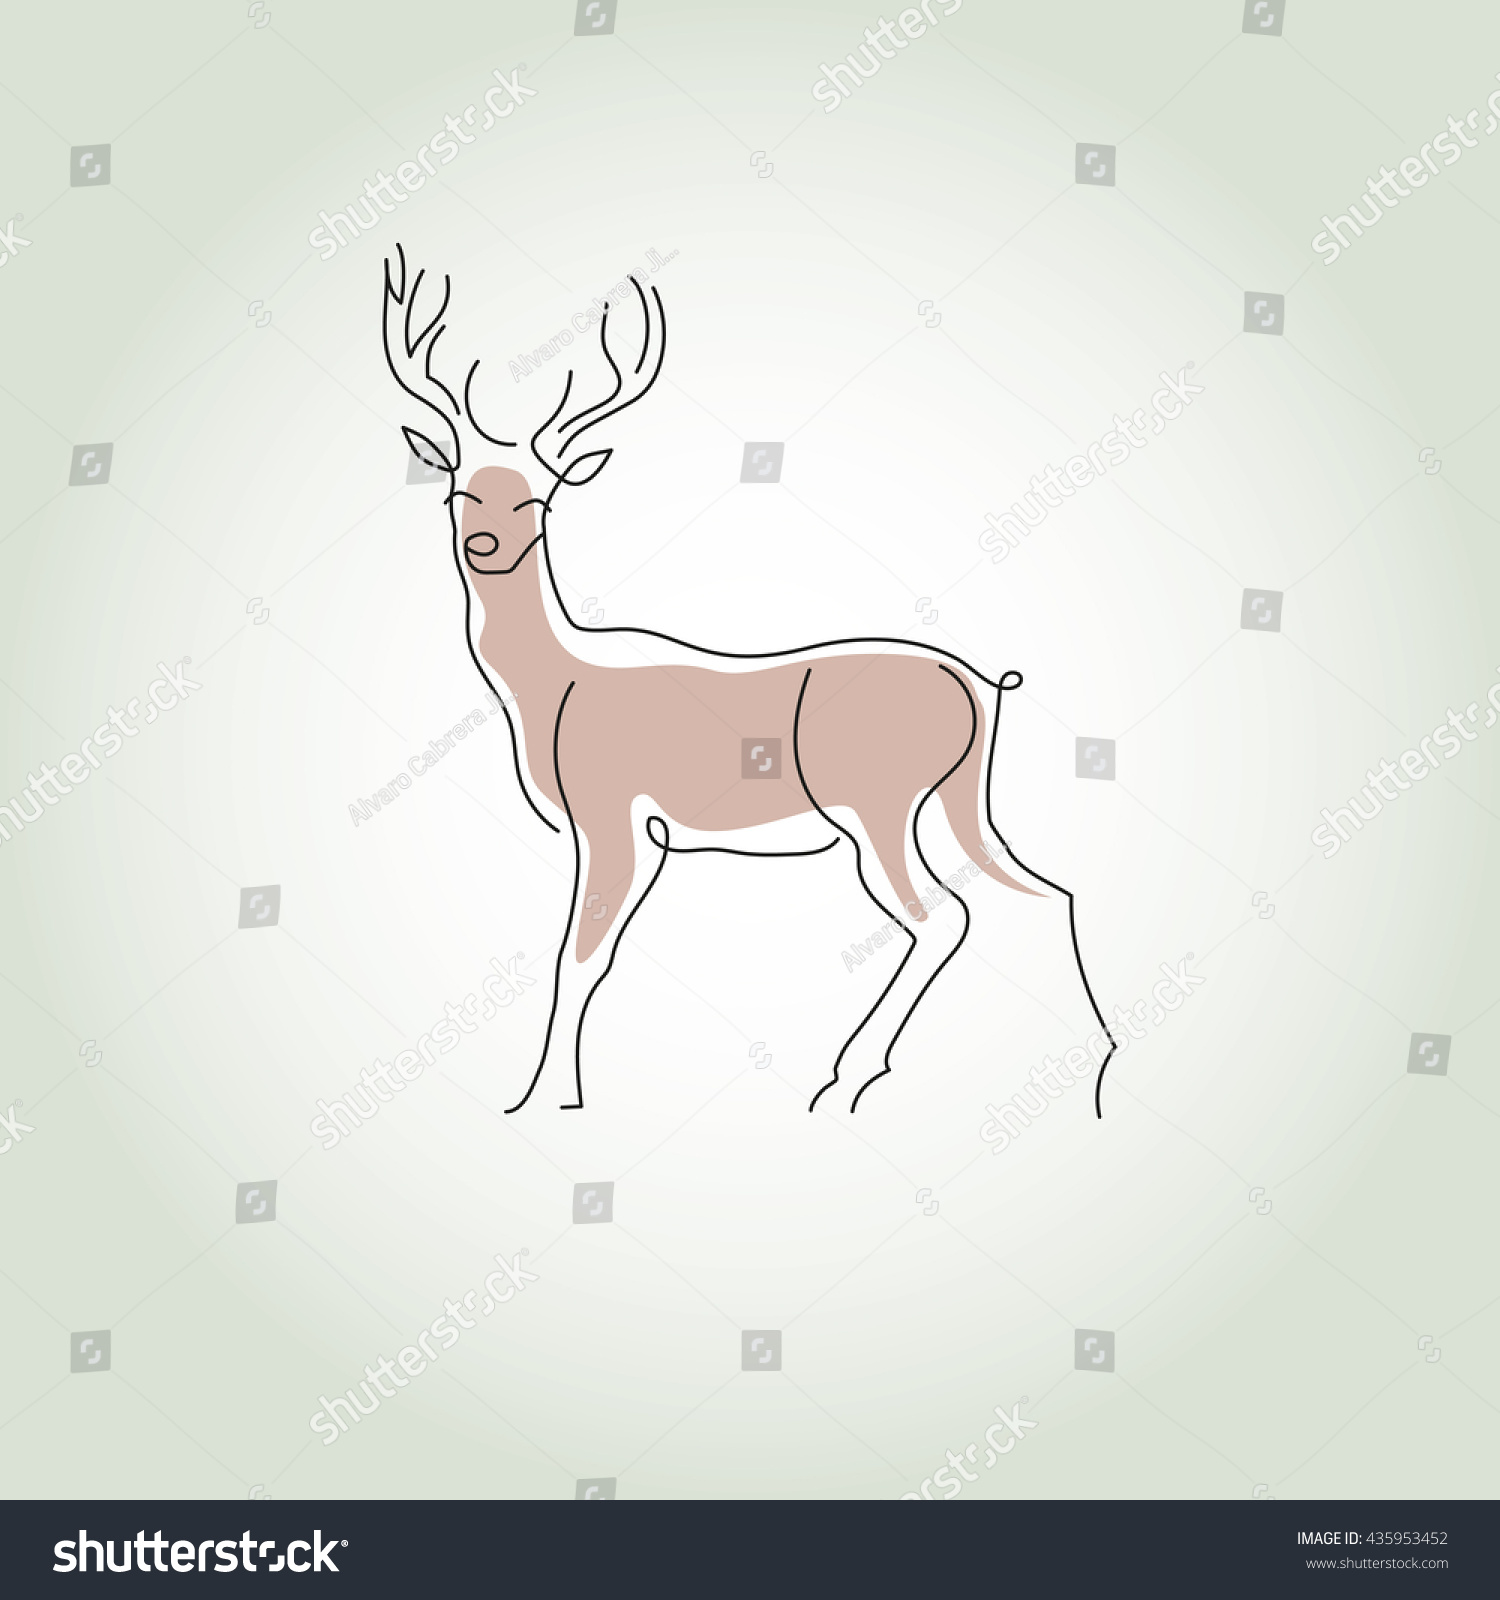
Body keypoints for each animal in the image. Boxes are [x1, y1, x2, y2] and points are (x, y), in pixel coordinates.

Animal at [381, 244, 1116, 1116]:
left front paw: (547, 1101)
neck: (553, 684)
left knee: (942, 917)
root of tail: (978, 681)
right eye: (459, 489)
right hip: (961, 800)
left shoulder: (613, 818)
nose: (487, 543)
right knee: (1043, 893)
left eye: (542, 499)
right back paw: (1089, 1073)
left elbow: (580, 957)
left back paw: (845, 1080)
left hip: (878, 805)